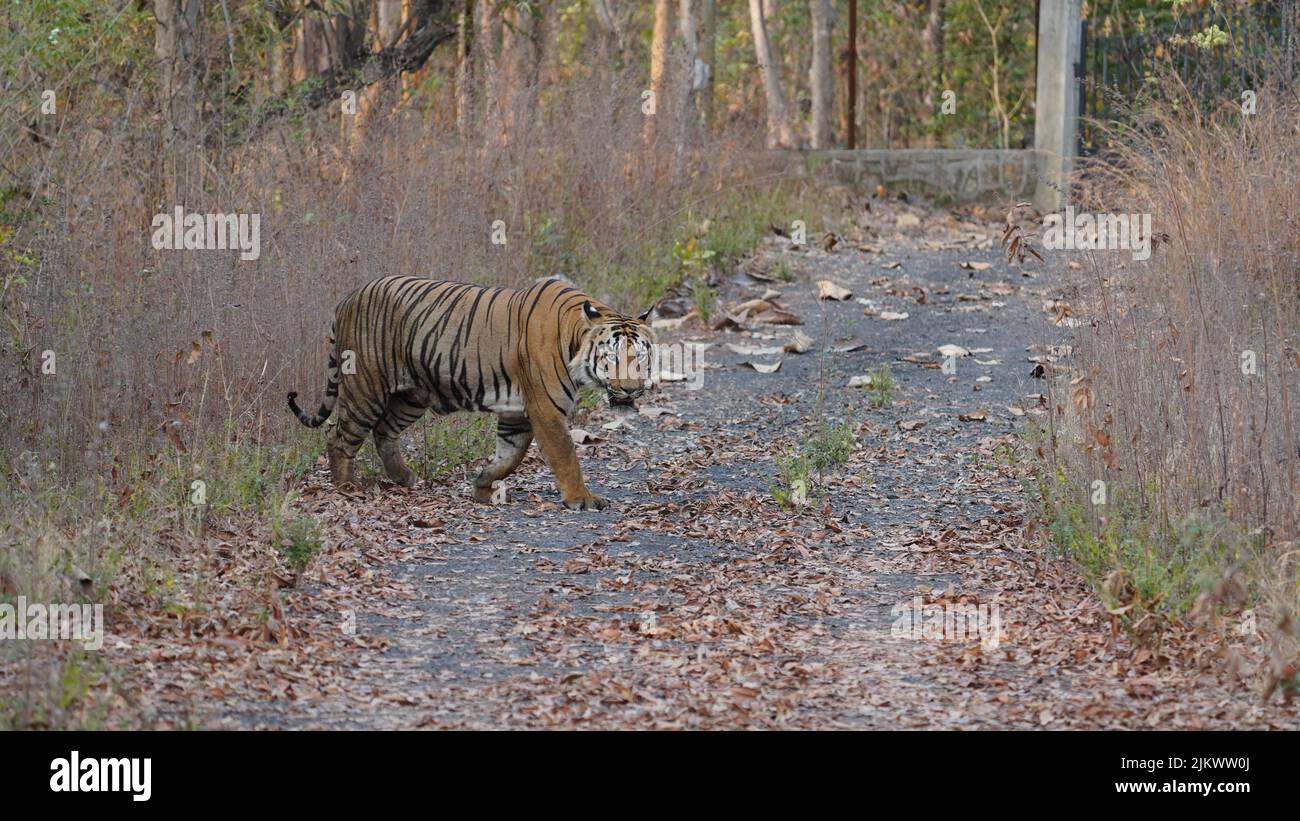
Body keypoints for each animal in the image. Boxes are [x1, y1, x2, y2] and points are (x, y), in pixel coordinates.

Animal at [287, 276, 656, 510]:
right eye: (612, 357)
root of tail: (347, 299)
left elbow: (509, 458)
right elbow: (565, 456)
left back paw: (403, 477)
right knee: (339, 438)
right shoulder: (546, 410)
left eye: (640, 357)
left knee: (384, 432)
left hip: (411, 396)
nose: (631, 389)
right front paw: (581, 499)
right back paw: (347, 487)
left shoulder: (517, 413)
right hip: (366, 388)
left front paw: (482, 486)